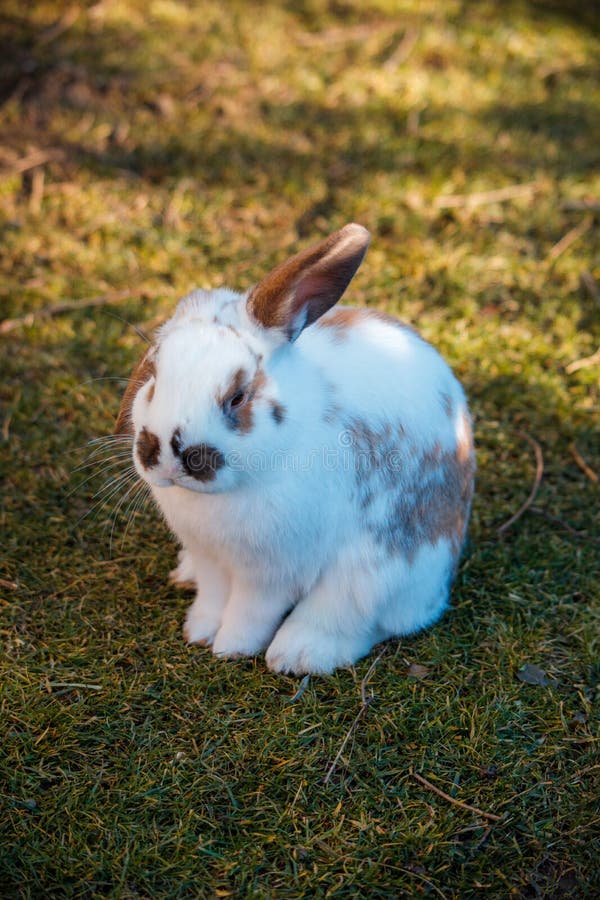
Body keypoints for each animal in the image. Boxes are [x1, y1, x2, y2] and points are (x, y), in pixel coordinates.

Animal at [114, 223, 475, 675]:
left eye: (238, 397)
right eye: (155, 376)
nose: (165, 456)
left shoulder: (270, 575)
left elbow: (249, 613)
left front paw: (229, 648)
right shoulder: (210, 557)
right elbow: (212, 598)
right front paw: (198, 631)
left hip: (372, 577)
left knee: (362, 621)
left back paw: (296, 655)